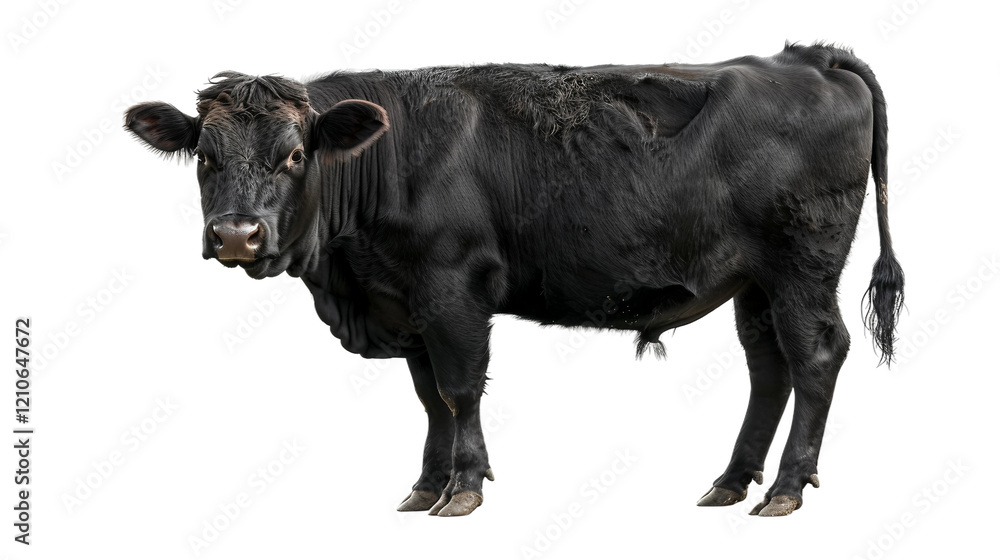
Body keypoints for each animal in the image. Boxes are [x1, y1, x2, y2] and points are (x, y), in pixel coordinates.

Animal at [124, 42, 904, 518]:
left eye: (293, 155)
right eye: (204, 157)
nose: (236, 235)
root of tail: (807, 57)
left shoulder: (451, 288)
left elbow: (459, 388)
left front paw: (464, 488)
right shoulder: (406, 302)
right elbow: (429, 397)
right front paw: (426, 485)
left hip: (802, 266)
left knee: (816, 356)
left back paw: (786, 487)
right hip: (753, 281)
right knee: (769, 367)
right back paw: (732, 481)